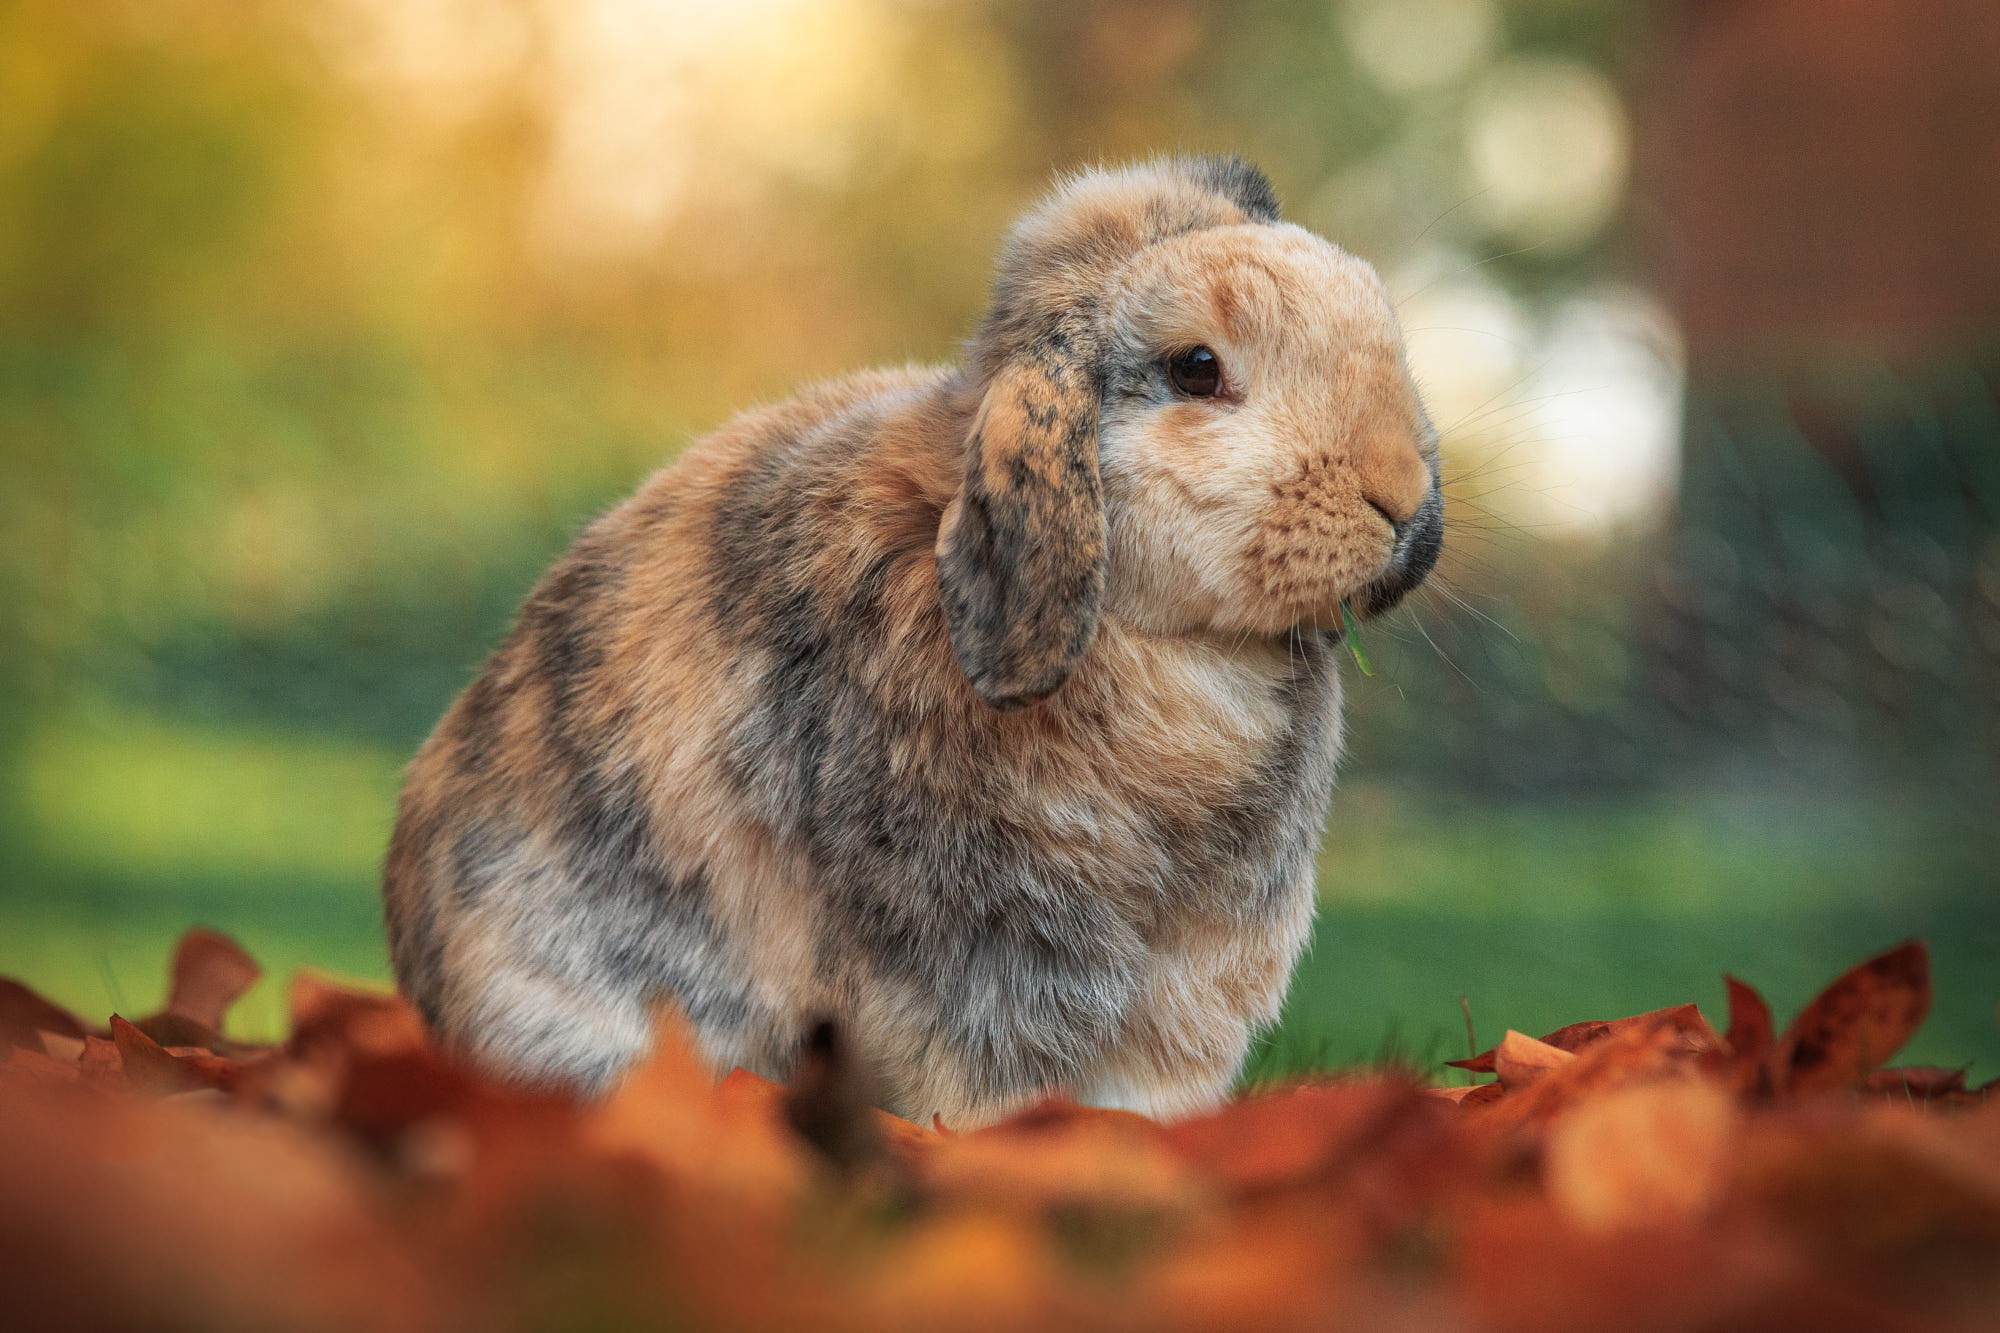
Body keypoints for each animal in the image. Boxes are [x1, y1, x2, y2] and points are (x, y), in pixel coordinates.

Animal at [382, 155, 1443, 1128]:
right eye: (1196, 368)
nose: (1402, 493)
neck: (1163, 644)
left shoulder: (1192, 980)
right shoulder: (973, 957)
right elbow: (978, 1088)